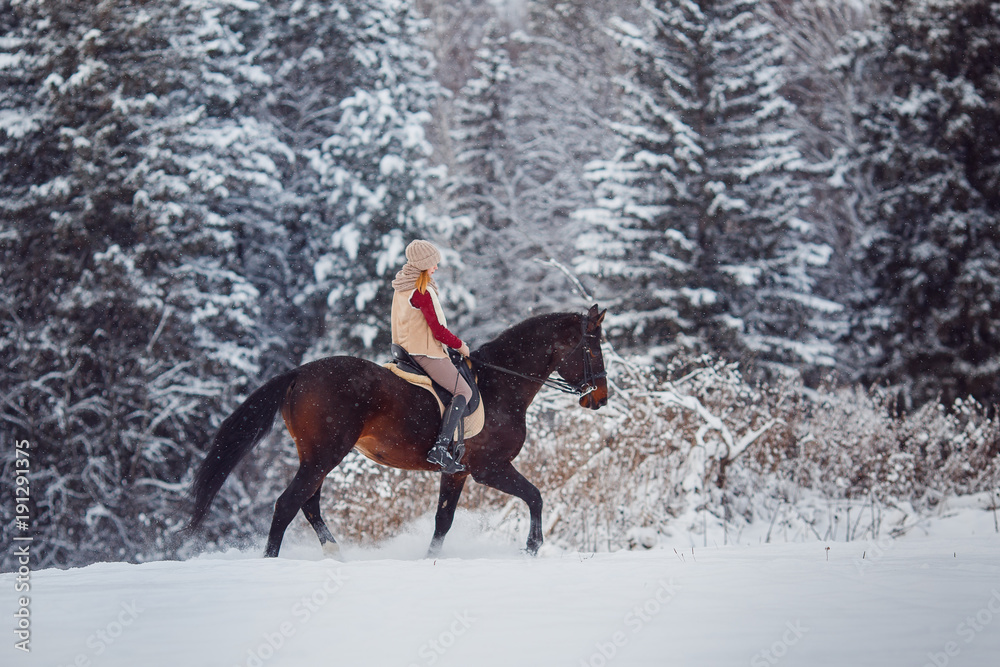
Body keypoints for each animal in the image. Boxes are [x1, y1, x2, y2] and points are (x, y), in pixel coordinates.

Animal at [188, 305, 608, 558]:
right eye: (592, 350)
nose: (600, 398)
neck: (500, 383)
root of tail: (299, 373)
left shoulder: (457, 472)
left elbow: (443, 521)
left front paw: (430, 560)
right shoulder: (491, 468)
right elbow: (535, 496)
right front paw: (532, 548)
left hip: (316, 457)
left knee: (308, 504)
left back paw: (336, 555)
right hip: (324, 454)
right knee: (287, 505)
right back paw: (273, 561)